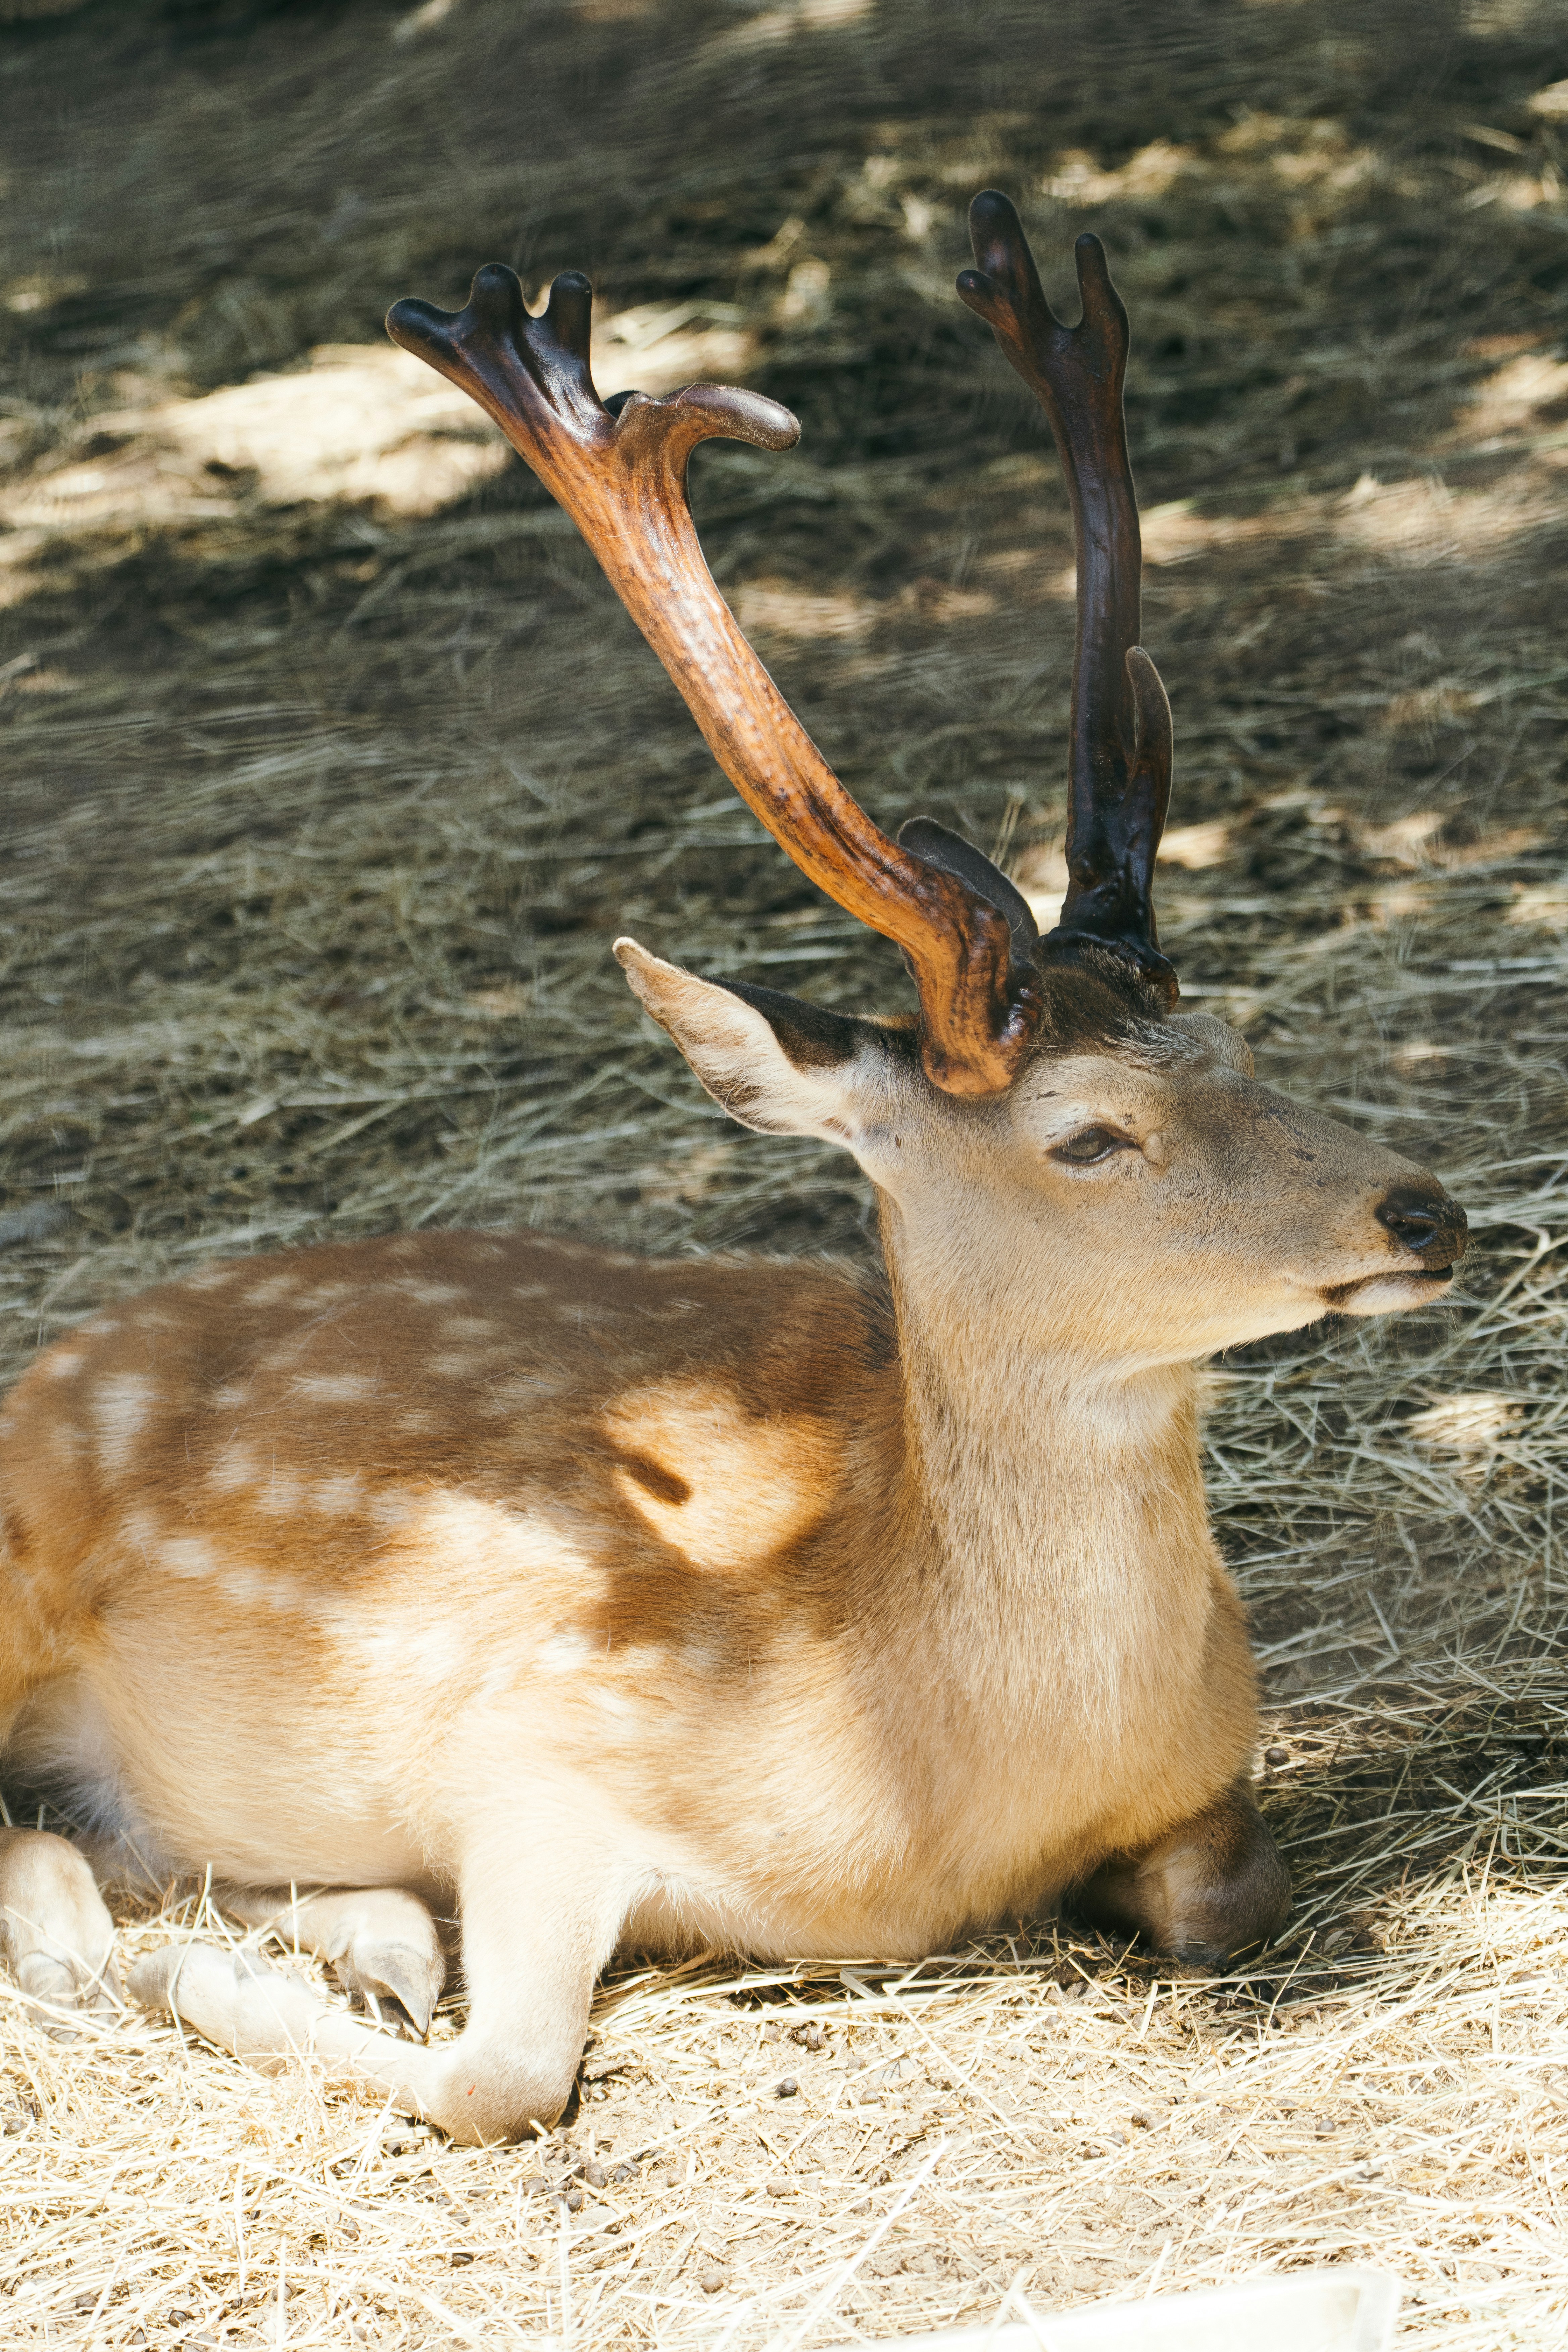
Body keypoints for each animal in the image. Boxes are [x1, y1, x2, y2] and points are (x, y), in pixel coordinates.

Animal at [0, 195, 1465, 2144]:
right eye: (1087, 1131)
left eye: (1238, 1038)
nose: (1422, 1209)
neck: (915, 1771)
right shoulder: (532, 1747)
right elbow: (508, 2073)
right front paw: (219, 1980)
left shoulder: (1208, 1793)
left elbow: (1232, 1896)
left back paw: (351, 1929)